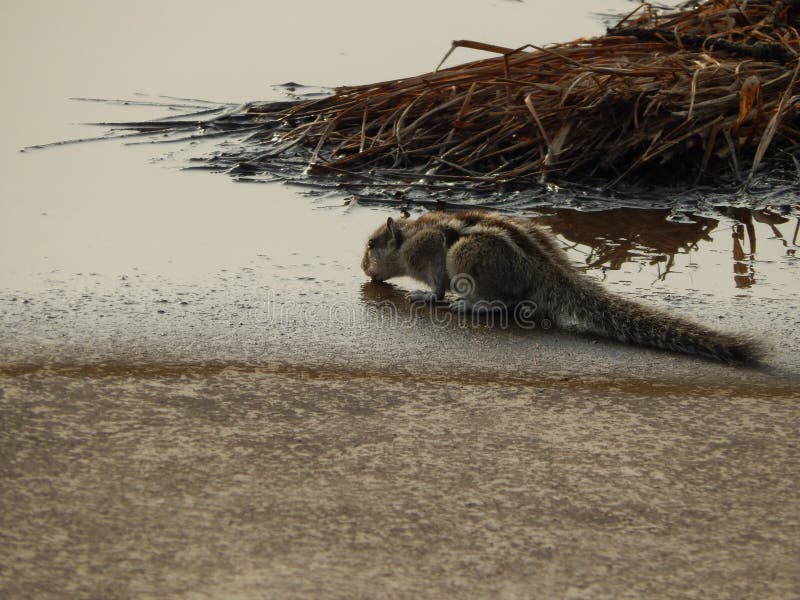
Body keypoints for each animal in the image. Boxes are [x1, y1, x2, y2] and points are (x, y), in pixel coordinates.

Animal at [361, 210, 759, 364]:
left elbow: (438, 285)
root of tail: (550, 271)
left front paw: (427, 296)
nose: (364, 270)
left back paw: (471, 304)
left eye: (371, 244)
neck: (410, 236)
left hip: (464, 258)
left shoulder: (431, 256)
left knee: (503, 303)